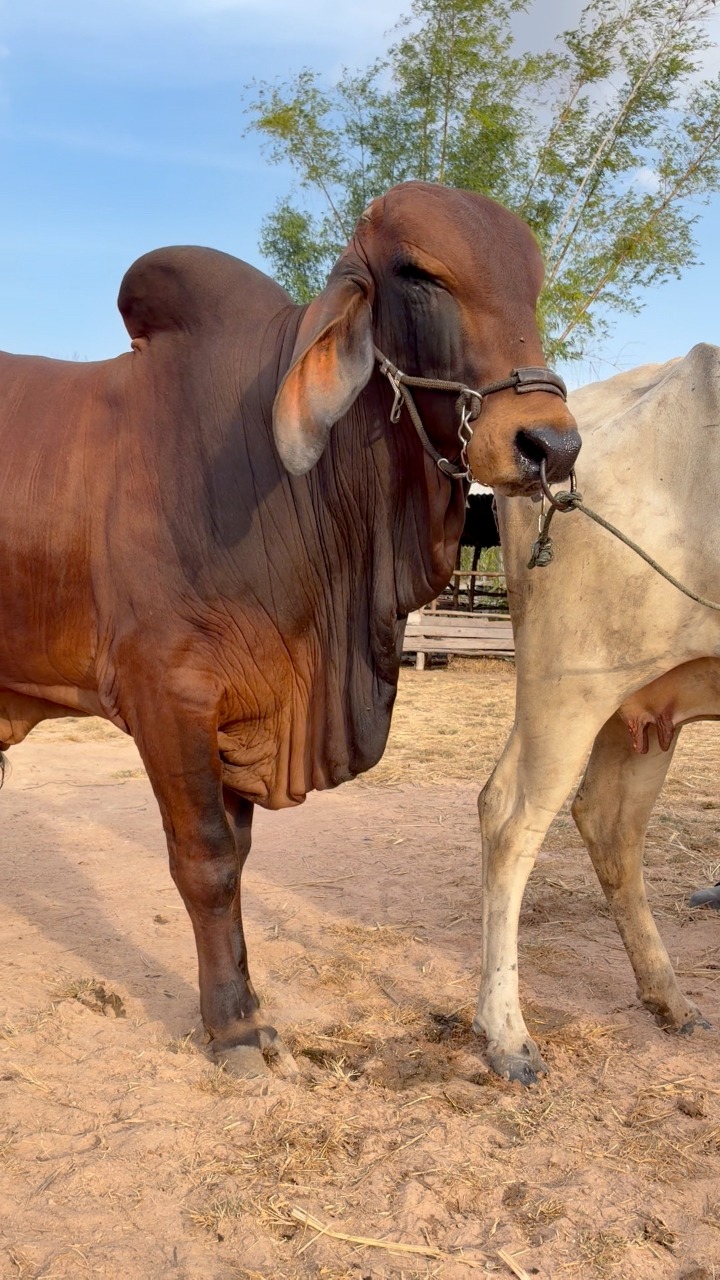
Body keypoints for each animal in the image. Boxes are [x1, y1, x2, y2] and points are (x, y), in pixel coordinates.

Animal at [0, 181, 580, 1074]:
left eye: (535, 283)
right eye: (419, 274)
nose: (550, 443)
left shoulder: (243, 710)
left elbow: (239, 858)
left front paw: (243, 1006)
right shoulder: (168, 696)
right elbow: (206, 861)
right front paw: (233, 1029)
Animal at [474, 343, 720, 1085]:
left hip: (642, 703)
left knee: (608, 821)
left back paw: (671, 999)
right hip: (575, 679)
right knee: (509, 815)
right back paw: (508, 1036)